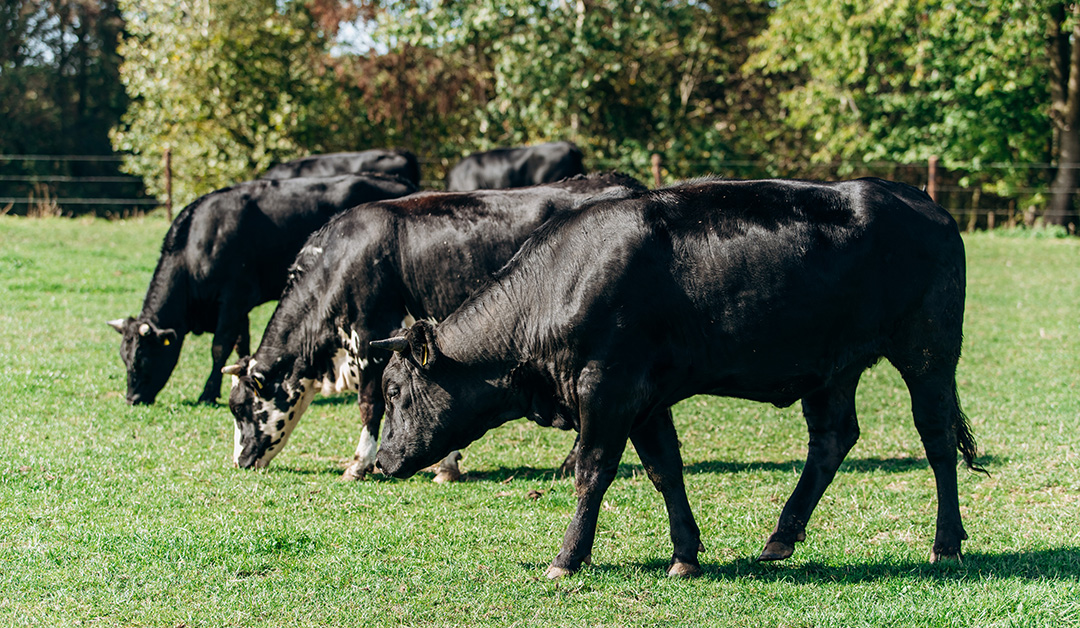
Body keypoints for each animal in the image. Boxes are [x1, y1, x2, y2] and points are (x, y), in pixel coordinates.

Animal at [108, 173, 417, 405]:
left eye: (143, 359)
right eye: (124, 357)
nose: (132, 399)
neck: (197, 243)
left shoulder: (233, 297)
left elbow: (219, 346)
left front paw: (208, 393)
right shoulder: (239, 308)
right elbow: (240, 343)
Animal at [223, 172, 646, 481]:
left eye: (242, 408)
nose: (240, 461)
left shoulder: (371, 334)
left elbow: (370, 405)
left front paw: (360, 464)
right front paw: (447, 464)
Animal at [370, 177, 985, 579]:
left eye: (396, 391)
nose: (382, 462)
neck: (559, 285)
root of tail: (922, 202)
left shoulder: (608, 388)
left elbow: (592, 472)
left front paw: (567, 558)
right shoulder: (645, 400)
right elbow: (666, 471)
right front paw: (685, 554)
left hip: (927, 354)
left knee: (936, 441)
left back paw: (946, 543)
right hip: (832, 368)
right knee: (832, 440)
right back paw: (781, 536)